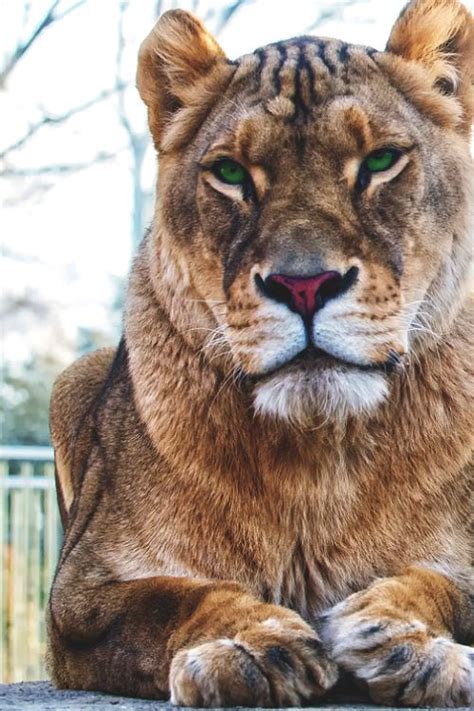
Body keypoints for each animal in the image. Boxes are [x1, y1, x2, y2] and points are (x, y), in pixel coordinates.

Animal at [47, 0, 473, 707]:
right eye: (229, 173)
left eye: (382, 160)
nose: (304, 285)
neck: (316, 454)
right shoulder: (78, 598)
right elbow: (175, 598)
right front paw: (251, 645)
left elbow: (441, 586)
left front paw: (399, 638)